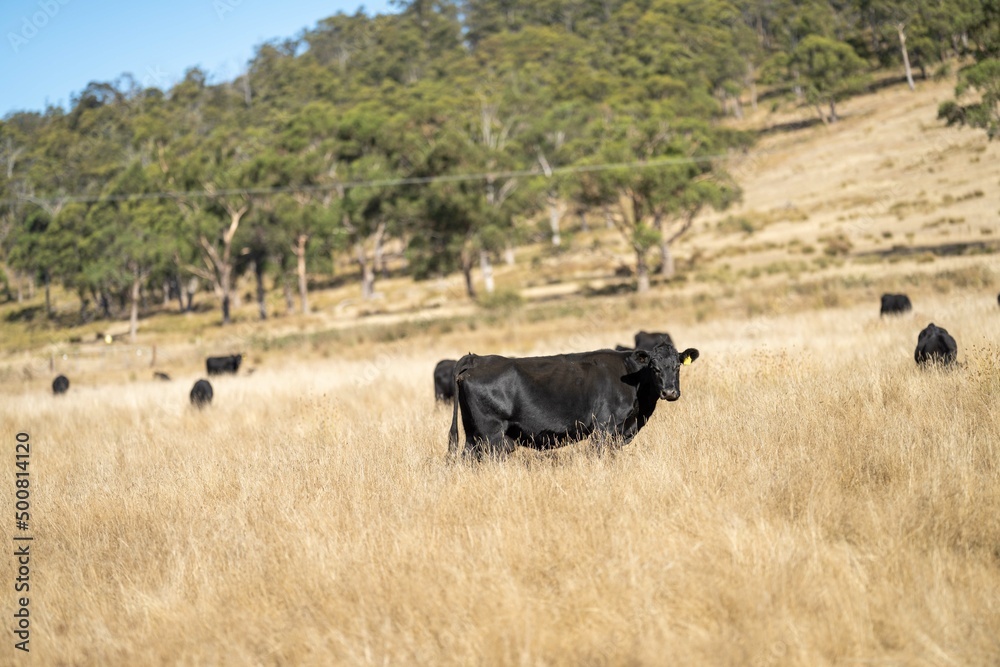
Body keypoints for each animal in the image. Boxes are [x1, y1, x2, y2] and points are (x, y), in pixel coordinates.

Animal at [448, 342, 699, 459]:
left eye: (677, 366)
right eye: (654, 367)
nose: (670, 392)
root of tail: (478, 359)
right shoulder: (604, 428)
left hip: (473, 434)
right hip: (491, 435)